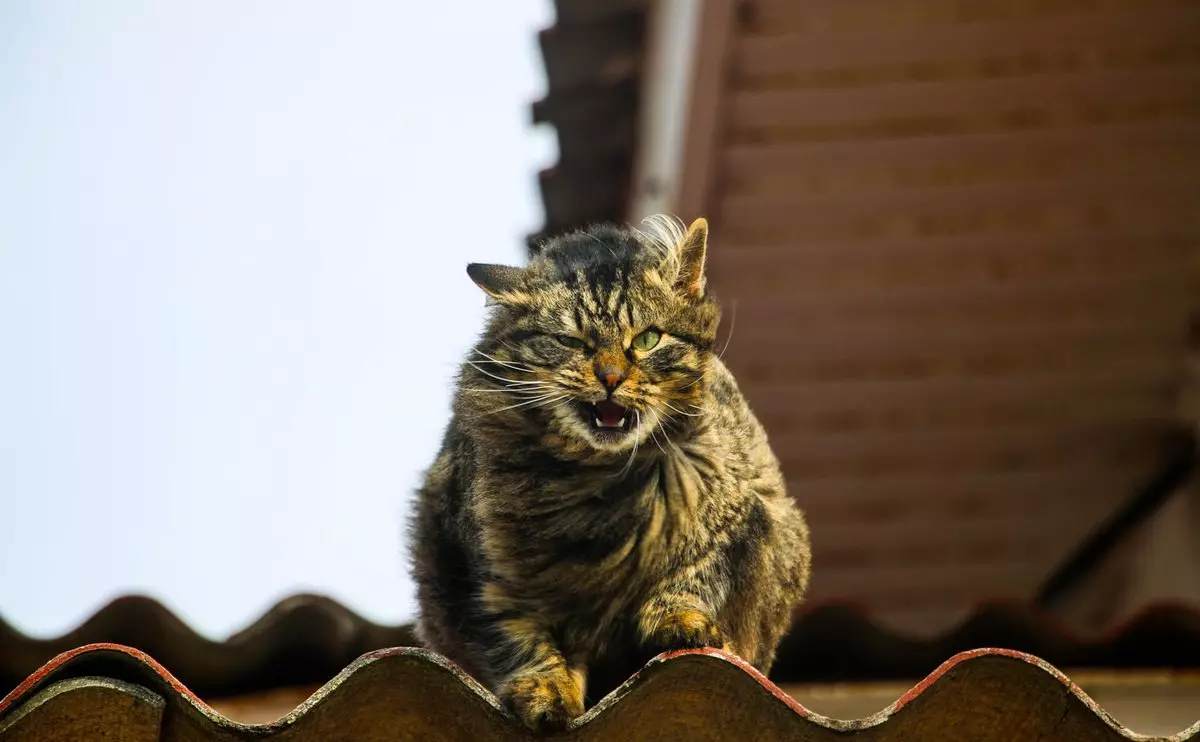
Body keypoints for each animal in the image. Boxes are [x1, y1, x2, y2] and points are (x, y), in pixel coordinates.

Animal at [408, 214, 811, 729]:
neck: (599, 482)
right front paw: (547, 690)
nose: (611, 377)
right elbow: (521, 641)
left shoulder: (740, 513)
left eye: (646, 339)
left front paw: (678, 621)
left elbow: (694, 574)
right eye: (571, 343)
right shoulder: (481, 574)